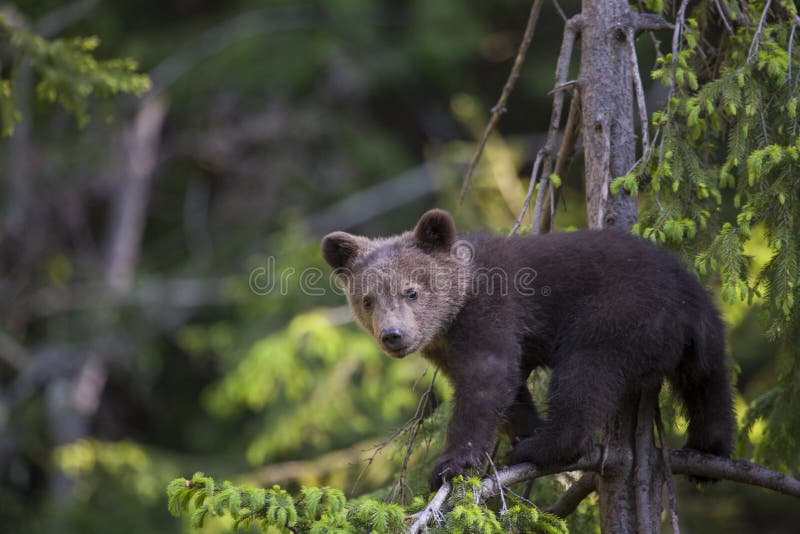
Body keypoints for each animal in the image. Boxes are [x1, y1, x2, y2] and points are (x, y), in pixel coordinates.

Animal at [321, 209, 735, 491]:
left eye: (412, 291)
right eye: (367, 299)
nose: (393, 335)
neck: (452, 315)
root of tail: (687, 305)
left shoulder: (492, 312)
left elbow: (487, 379)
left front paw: (452, 464)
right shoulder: (450, 345)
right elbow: (509, 386)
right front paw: (522, 429)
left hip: (616, 317)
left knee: (584, 377)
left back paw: (544, 447)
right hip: (707, 334)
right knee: (709, 384)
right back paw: (709, 450)